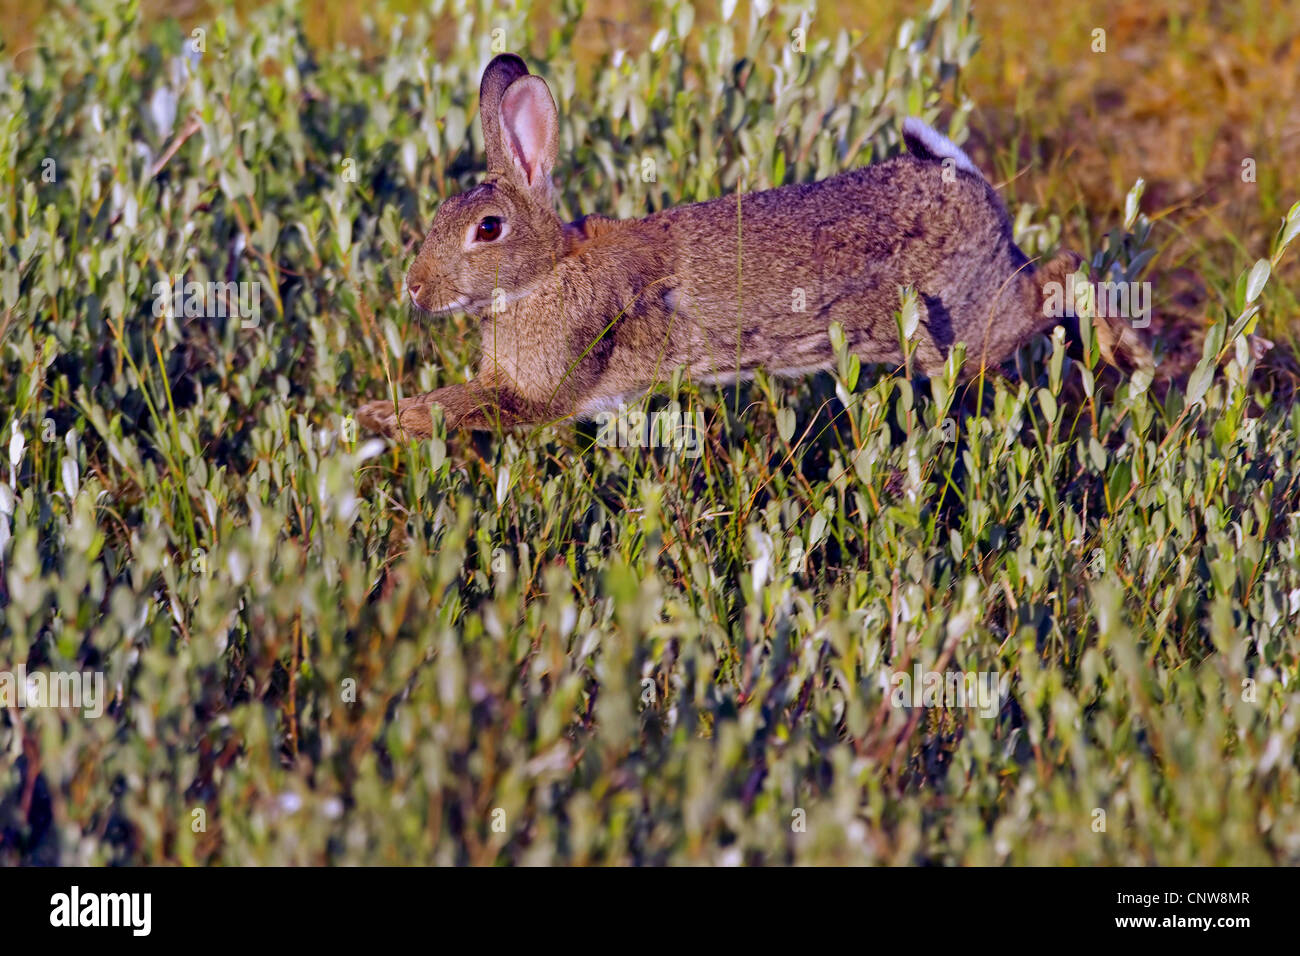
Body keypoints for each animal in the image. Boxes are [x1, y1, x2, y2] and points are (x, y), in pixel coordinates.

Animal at [355, 53, 1148, 439]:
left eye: (487, 229)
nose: (415, 289)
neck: (547, 271)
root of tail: (961, 179)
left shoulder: (542, 394)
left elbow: (464, 405)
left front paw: (380, 422)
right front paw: (375, 417)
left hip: (967, 327)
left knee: (1062, 275)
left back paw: (1131, 356)